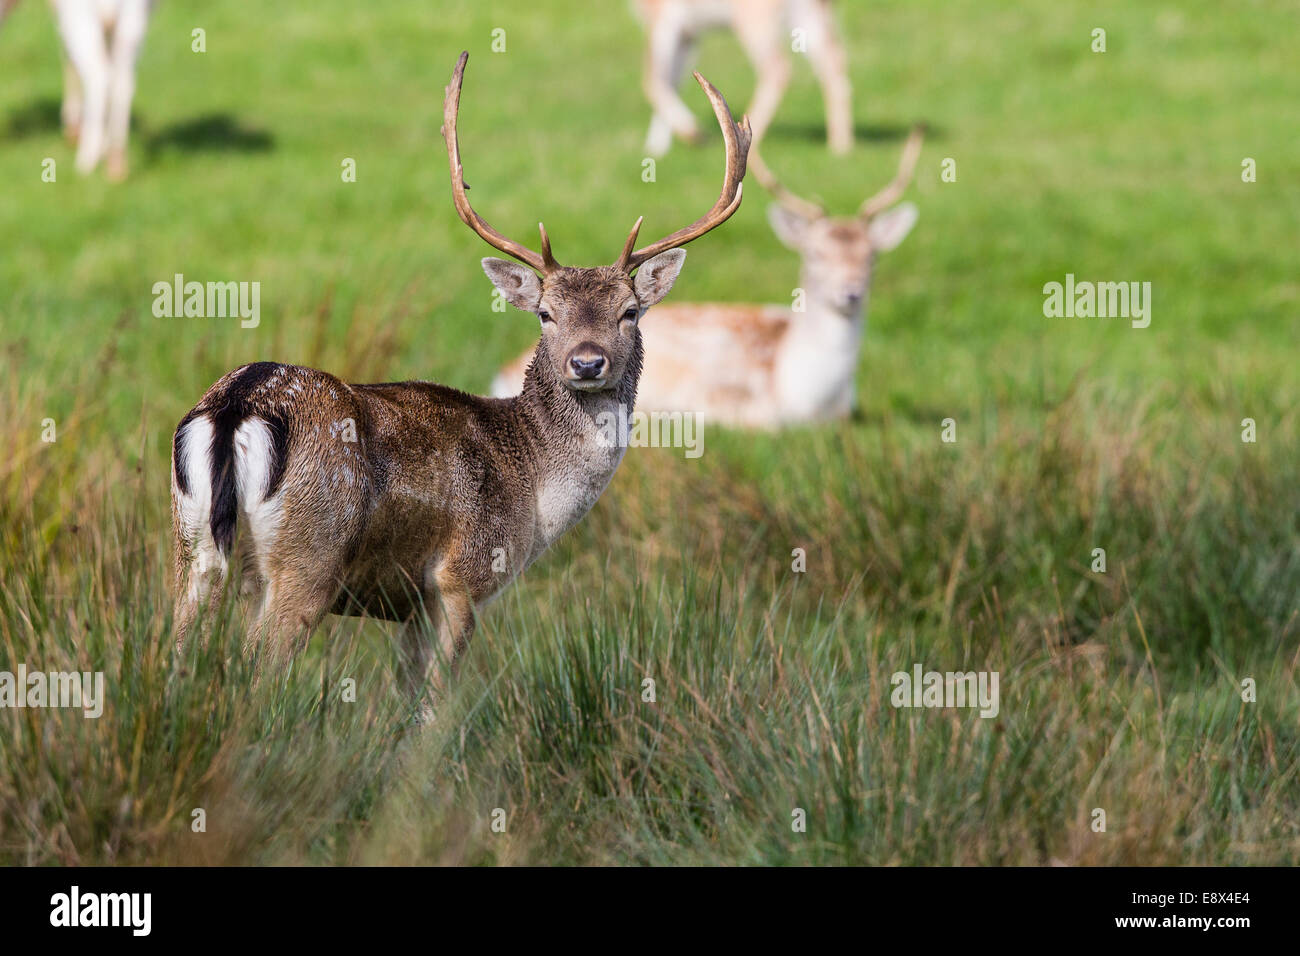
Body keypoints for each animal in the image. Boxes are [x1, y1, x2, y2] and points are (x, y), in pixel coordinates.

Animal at [1, 0, 154, 179]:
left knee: (98, 76)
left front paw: (74, 131)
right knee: (123, 82)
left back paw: (86, 163)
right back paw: (115, 164)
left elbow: (67, 54)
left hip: (81, 22)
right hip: (132, 26)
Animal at [170, 52, 751, 706]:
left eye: (630, 311)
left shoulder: (410, 604)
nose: (587, 362)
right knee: (258, 669)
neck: (533, 488)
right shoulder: (461, 578)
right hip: (308, 556)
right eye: (545, 313)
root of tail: (235, 407)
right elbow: (433, 709)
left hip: (194, 549)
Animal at [637, 0, 852, 157]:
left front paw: (694, 134)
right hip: (811, 13)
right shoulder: (690, 33)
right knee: (835, 60)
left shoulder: (660, 15)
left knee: (778, 67)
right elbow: (674, 82)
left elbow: (653, 81)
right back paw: (840, 147)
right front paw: (657, 148)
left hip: (754, 18)